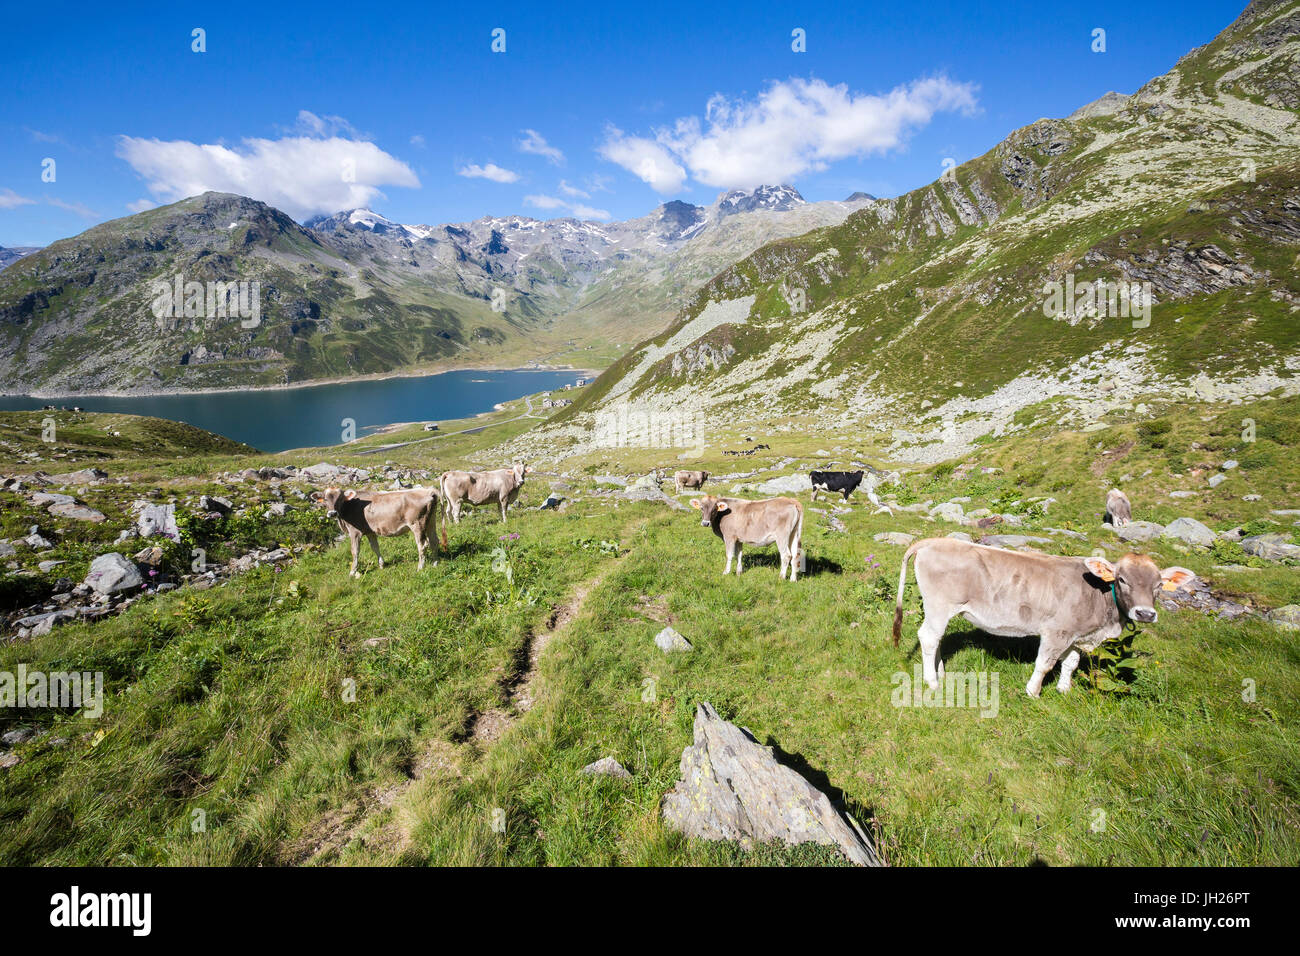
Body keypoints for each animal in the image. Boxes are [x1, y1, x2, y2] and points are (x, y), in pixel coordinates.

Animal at [311, 486, 444, 578]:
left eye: (340, 499)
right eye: (325, 499)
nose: (332, 513)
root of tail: (429, 491)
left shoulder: (355, 532)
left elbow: (355, 551)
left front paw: (352, 572)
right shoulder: (370, 531)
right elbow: (375, 547)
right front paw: (381, 565)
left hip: (417, 524)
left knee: (422, 545)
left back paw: (420, 567)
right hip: (431, 522)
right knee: (434, 541)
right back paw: (435, 563)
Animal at [892, 538, 1194, 698]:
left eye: (1159, 585)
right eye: (1122, 580)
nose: (1145, 613)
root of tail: (934, 541)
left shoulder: (1077, 635)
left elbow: (1071, 663)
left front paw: (1064, 689)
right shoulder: (1056, 631)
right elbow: (1045, 664)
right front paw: (1033, 691)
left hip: (938, 609)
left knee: (936, 638)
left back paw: (940, 672)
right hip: (940, 605)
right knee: (928, 637)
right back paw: (931, 681)